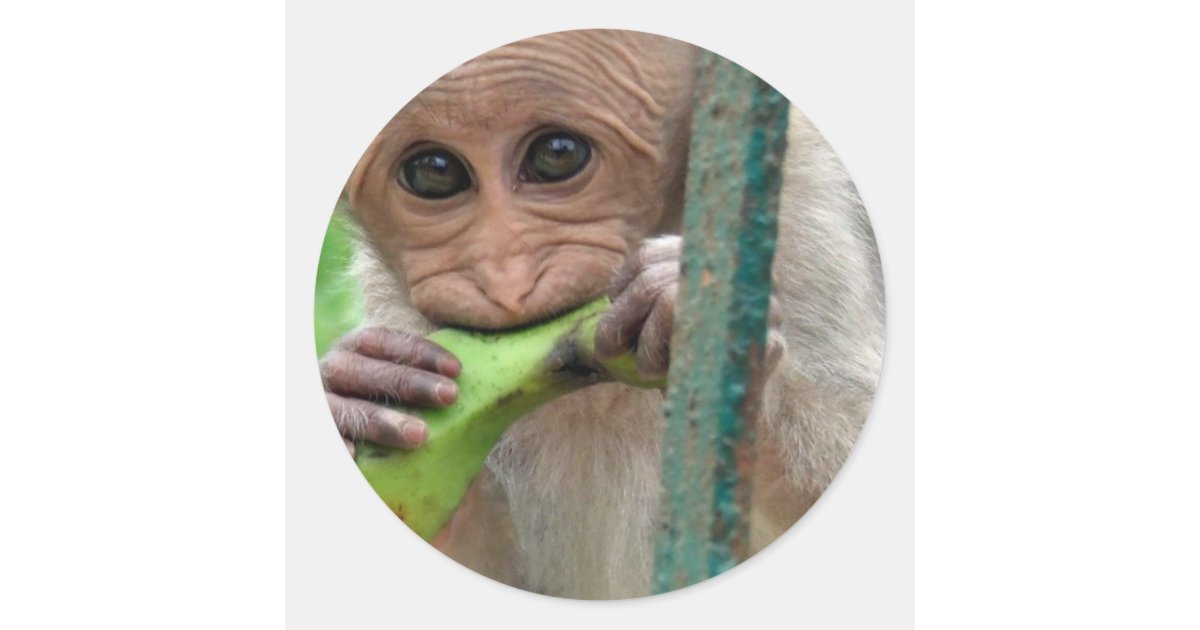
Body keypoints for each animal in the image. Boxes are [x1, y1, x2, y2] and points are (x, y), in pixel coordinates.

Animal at [318, 29, 885, 600]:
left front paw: (681, 305)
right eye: (434, 172)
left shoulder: (806, 218)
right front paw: (360, 387)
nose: (508, 282)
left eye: (556, 155)